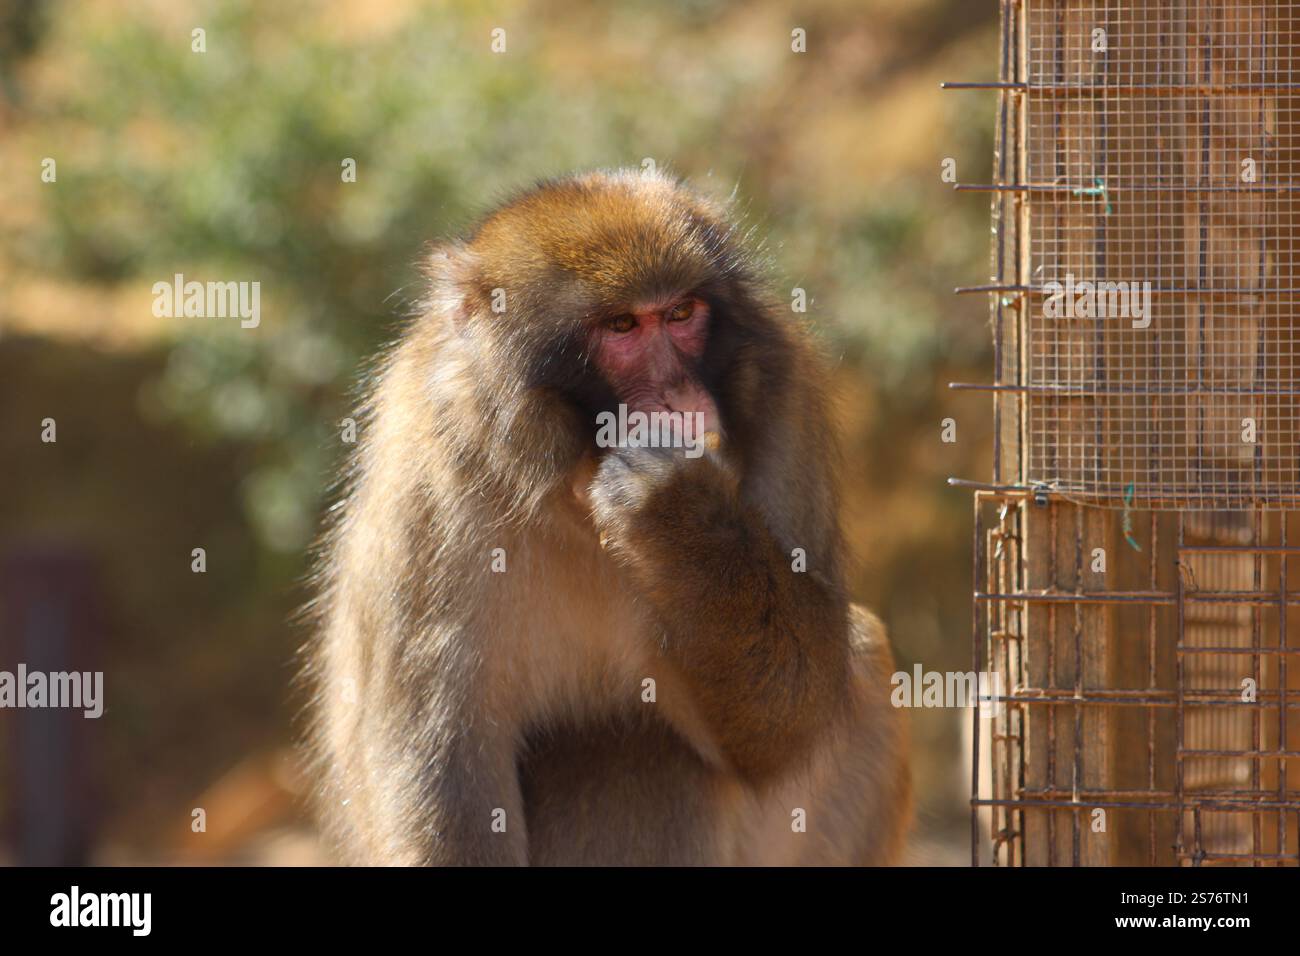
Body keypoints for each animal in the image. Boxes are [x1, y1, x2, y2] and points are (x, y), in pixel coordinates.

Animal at [305, 168, 911, 865]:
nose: (680, 399)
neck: (572, 496)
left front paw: (679, 510)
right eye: (622, 325)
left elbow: (789, 723)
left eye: (681, 314)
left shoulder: (786, 393)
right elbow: (444, 769)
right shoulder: (426, 472)